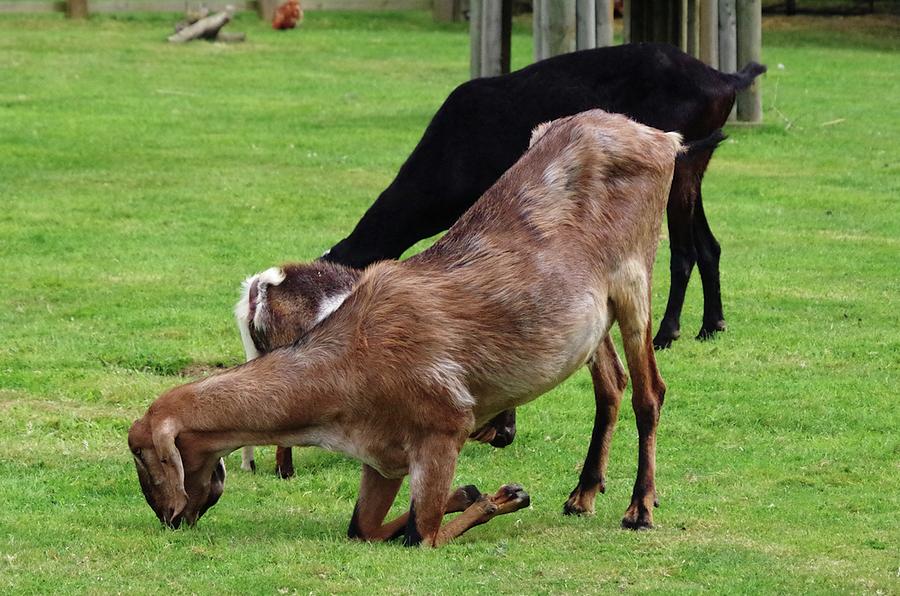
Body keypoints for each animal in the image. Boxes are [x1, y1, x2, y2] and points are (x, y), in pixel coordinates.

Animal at [128, 110, 685, 544]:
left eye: (146, 459)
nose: (170, 517)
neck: (344, 374)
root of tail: (663, 138)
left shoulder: (443, 429)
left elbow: (424, 533)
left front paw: (503, 494)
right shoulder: (381, 459)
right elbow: (363, 529)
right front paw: (474, 492)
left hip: (634, 278)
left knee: (649, 391)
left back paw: (639, 509)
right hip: (594, 321)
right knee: (611, 384)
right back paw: (583, 495)